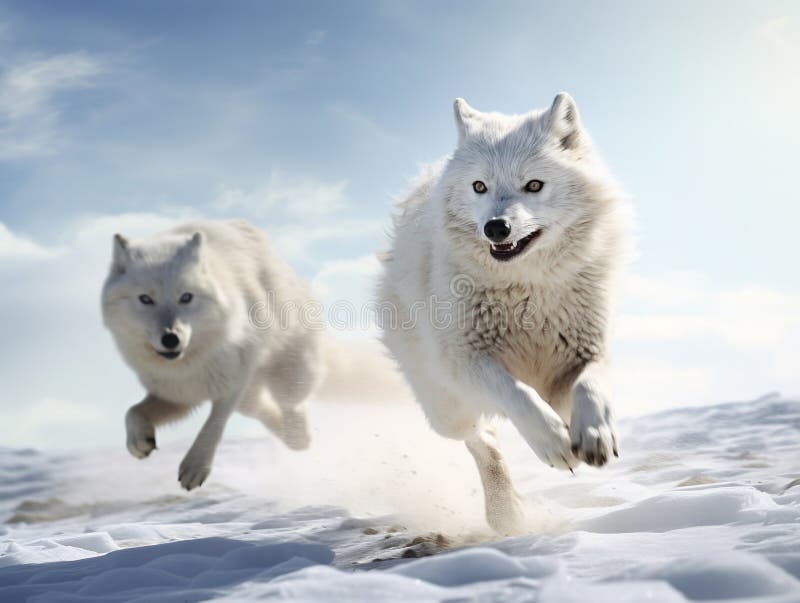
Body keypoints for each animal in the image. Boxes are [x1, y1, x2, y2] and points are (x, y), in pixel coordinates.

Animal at [102, 219, 323, 490]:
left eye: (186, 297)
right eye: (146, 299)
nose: (171, 338)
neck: (189, 363)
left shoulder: (233, 380)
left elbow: (213, 424)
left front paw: (196, 465)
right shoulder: (178, 393)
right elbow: (132, 411)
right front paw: (138, 441)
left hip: (285, 372)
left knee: (291, 401)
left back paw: (298, 436)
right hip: (249, 395)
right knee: (259, 408)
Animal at [378, 94, 628, 533]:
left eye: (534, 185)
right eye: (480, 186)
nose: (496, 228)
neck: (527, 290)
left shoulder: (584, 351)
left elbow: (591, 385)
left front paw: (595, 434)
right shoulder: (468, 360)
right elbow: (516, 394)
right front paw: (552, 441)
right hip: (447, 409)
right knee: (482, 438)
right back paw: (505, 512)